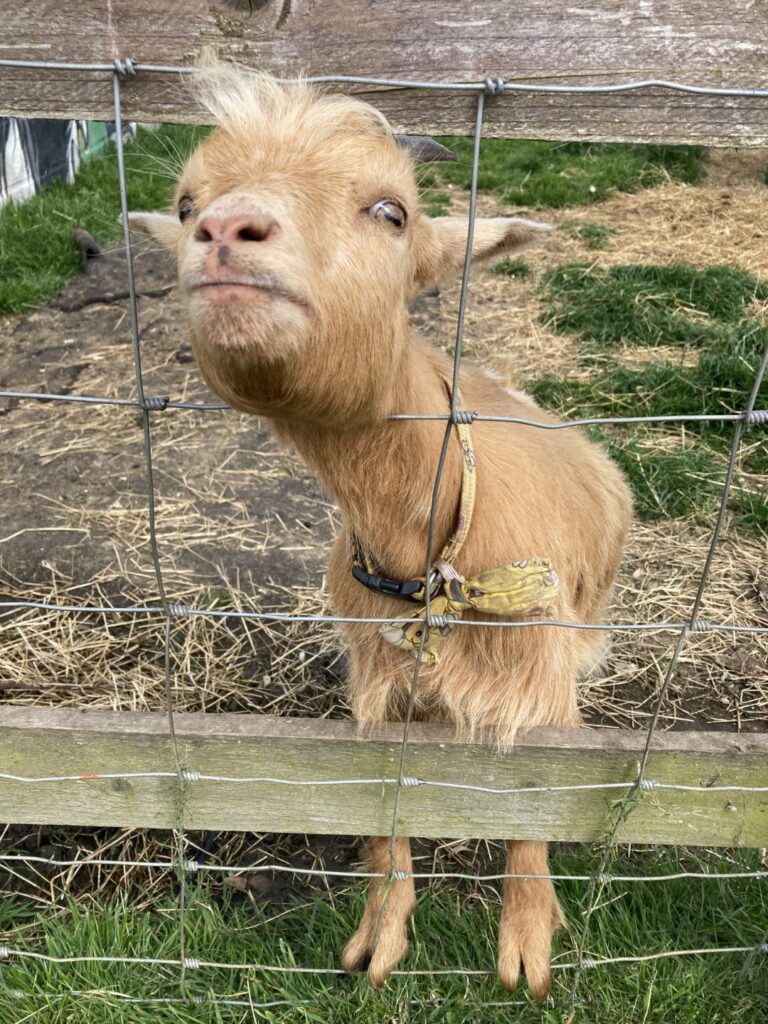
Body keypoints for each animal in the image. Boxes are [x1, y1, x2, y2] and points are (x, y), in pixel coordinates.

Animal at [129, 64, 632, 997]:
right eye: (184, 205)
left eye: (390, 210)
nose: (225, 230)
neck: (426, 553)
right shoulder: (380, 682)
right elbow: (383, 806)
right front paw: (381, 940)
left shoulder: (537, 682)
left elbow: (536, 800)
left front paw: (527, 947)